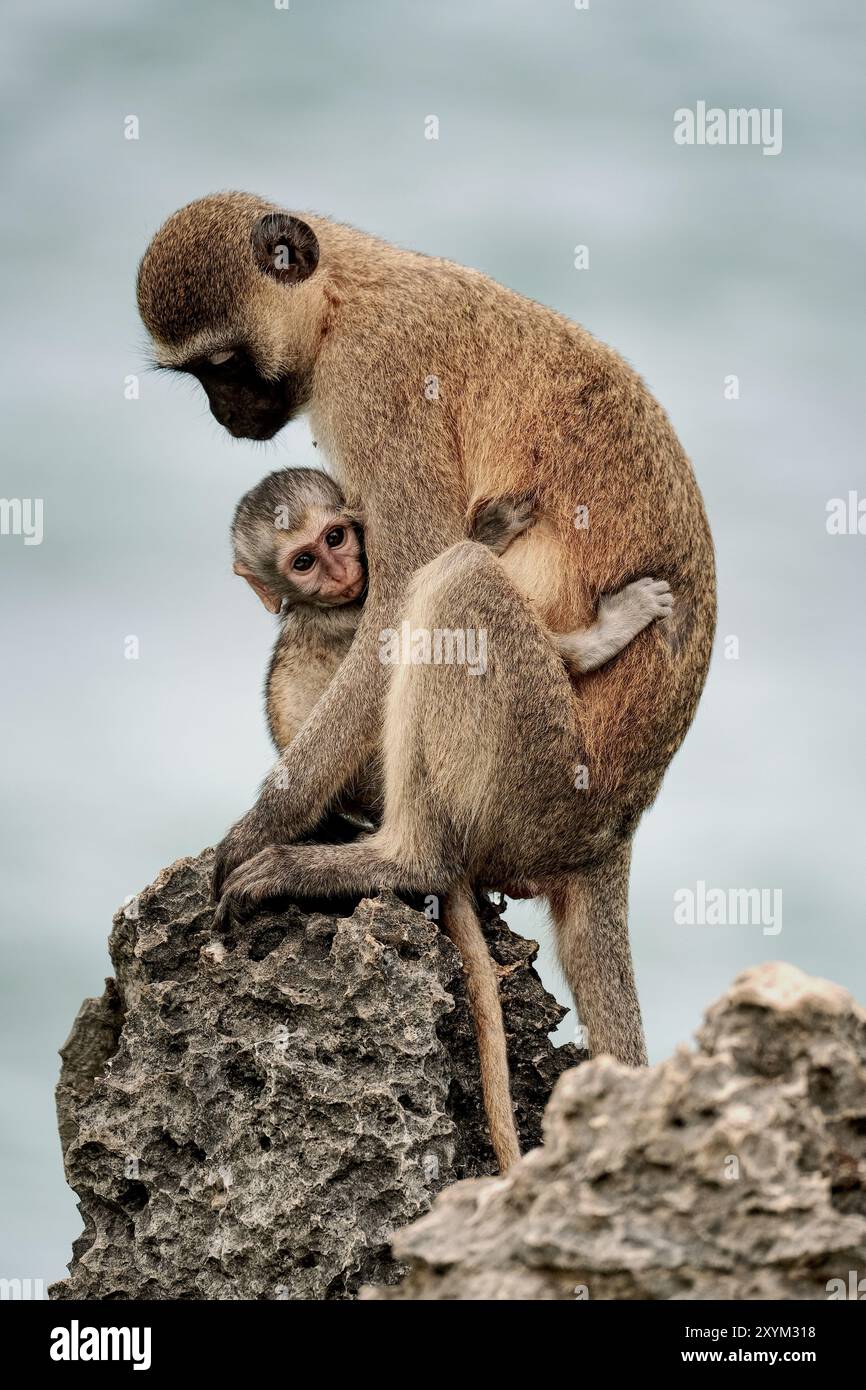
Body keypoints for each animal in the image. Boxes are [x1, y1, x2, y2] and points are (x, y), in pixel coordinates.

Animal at [137, 194, 715, 1098]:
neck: (345, 293)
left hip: (539, 787)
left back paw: (401, 861)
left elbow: (404, 581)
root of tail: (609, 835)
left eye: (224, 364)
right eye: (197, 375)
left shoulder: (378, 383)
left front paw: (266, 823)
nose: (221, 414)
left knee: (456, 583)